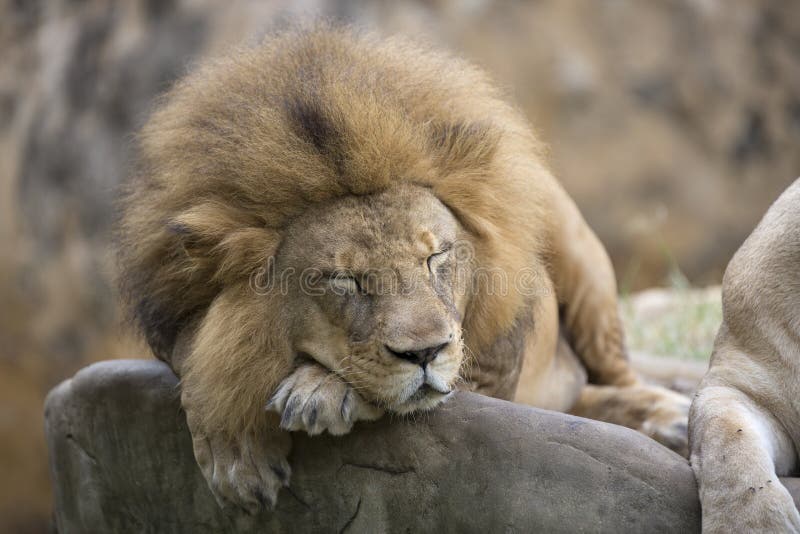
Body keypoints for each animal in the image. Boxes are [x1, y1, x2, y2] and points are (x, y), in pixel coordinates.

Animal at [117, 26, 690, 513]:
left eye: (435, 258)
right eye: (344, 280)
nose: (425, 354)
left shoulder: (485, 368)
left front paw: (320, 392)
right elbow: (200, 367)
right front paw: (235, 450)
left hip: (581, 256)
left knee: (617, 376)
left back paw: (672, 419)